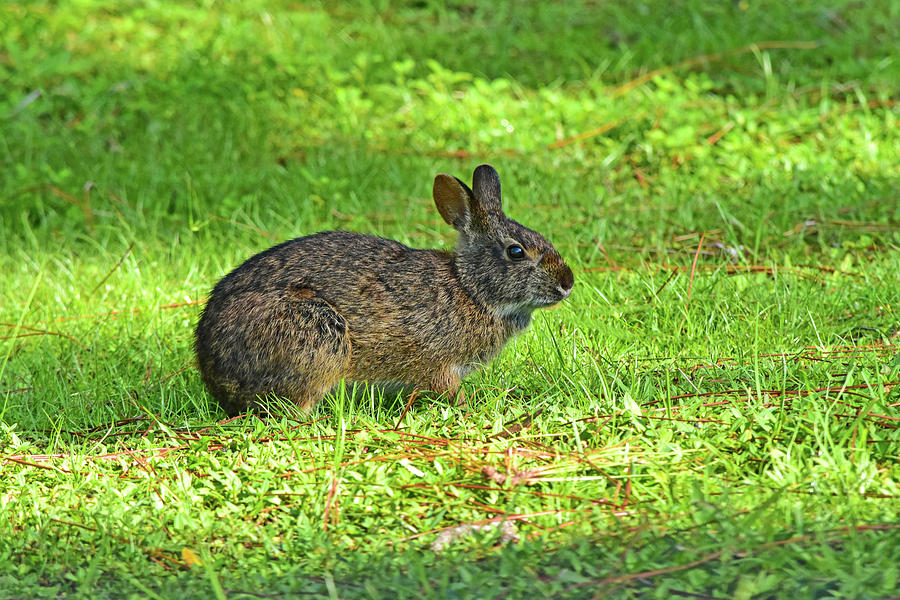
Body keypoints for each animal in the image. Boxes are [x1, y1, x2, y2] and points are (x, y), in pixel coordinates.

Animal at [195, 164, 574, 416]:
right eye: (516, 252)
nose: (567, 282)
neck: (470, 289)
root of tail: (215, 374)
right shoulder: (440, 365)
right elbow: (449, 390)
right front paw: (472, 409)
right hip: (318, 336)